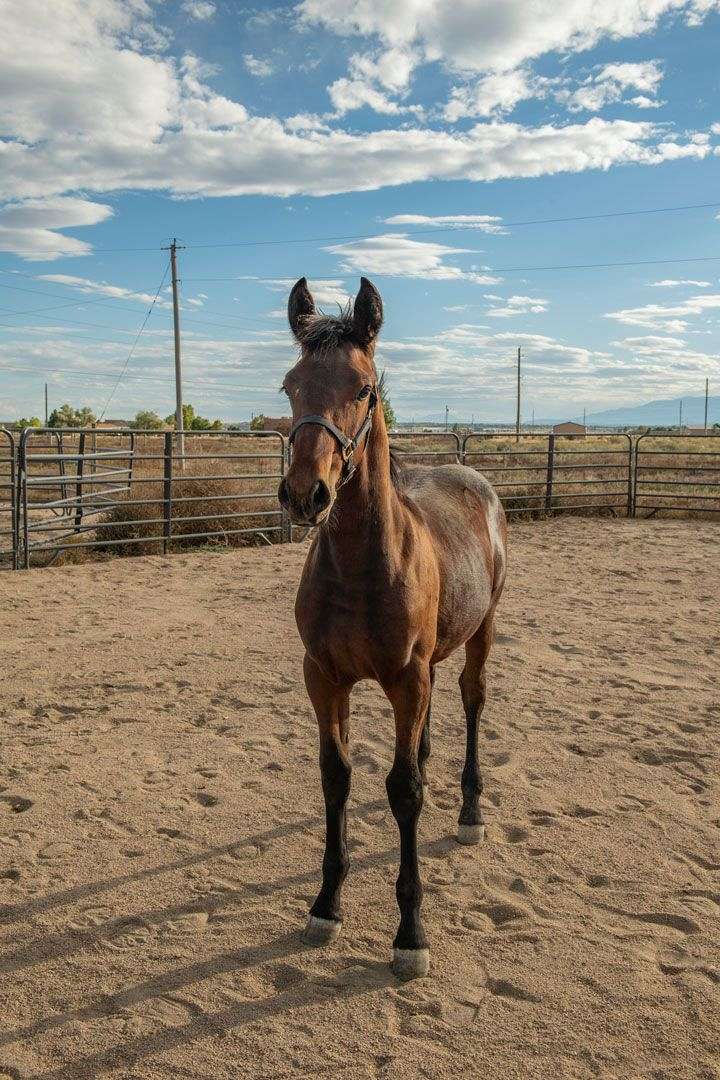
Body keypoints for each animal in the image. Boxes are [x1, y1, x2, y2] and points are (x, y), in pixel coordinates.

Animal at [278, 277, 507, 980]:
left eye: (363, 388)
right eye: (291, 385)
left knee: (471, 704)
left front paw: (410, 935)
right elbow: (337, 775)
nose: (306, 494)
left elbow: (403, 789)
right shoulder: (324, 677)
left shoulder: (405, 678)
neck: (362, 563)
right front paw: (326, 903)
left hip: (479, 637)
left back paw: (469, 812)